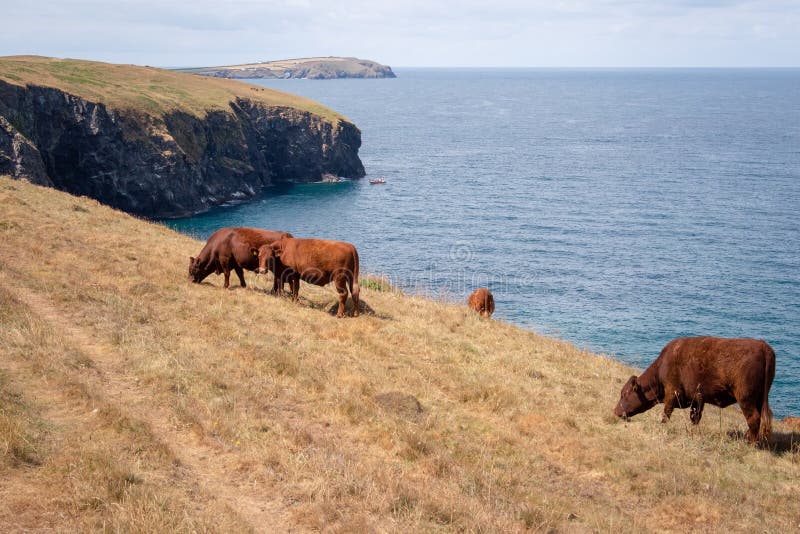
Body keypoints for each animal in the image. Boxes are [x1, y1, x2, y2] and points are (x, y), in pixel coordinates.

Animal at [614, 336, 775, 444]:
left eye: (624, 394)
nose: (615, 412)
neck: (662, 366)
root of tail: (763, 347)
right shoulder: (697, 399)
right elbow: (695, 417)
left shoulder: (671, 393)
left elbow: (666, 413)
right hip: (759, 399)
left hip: (745, 399)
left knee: (753, 418)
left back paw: (750, 443)